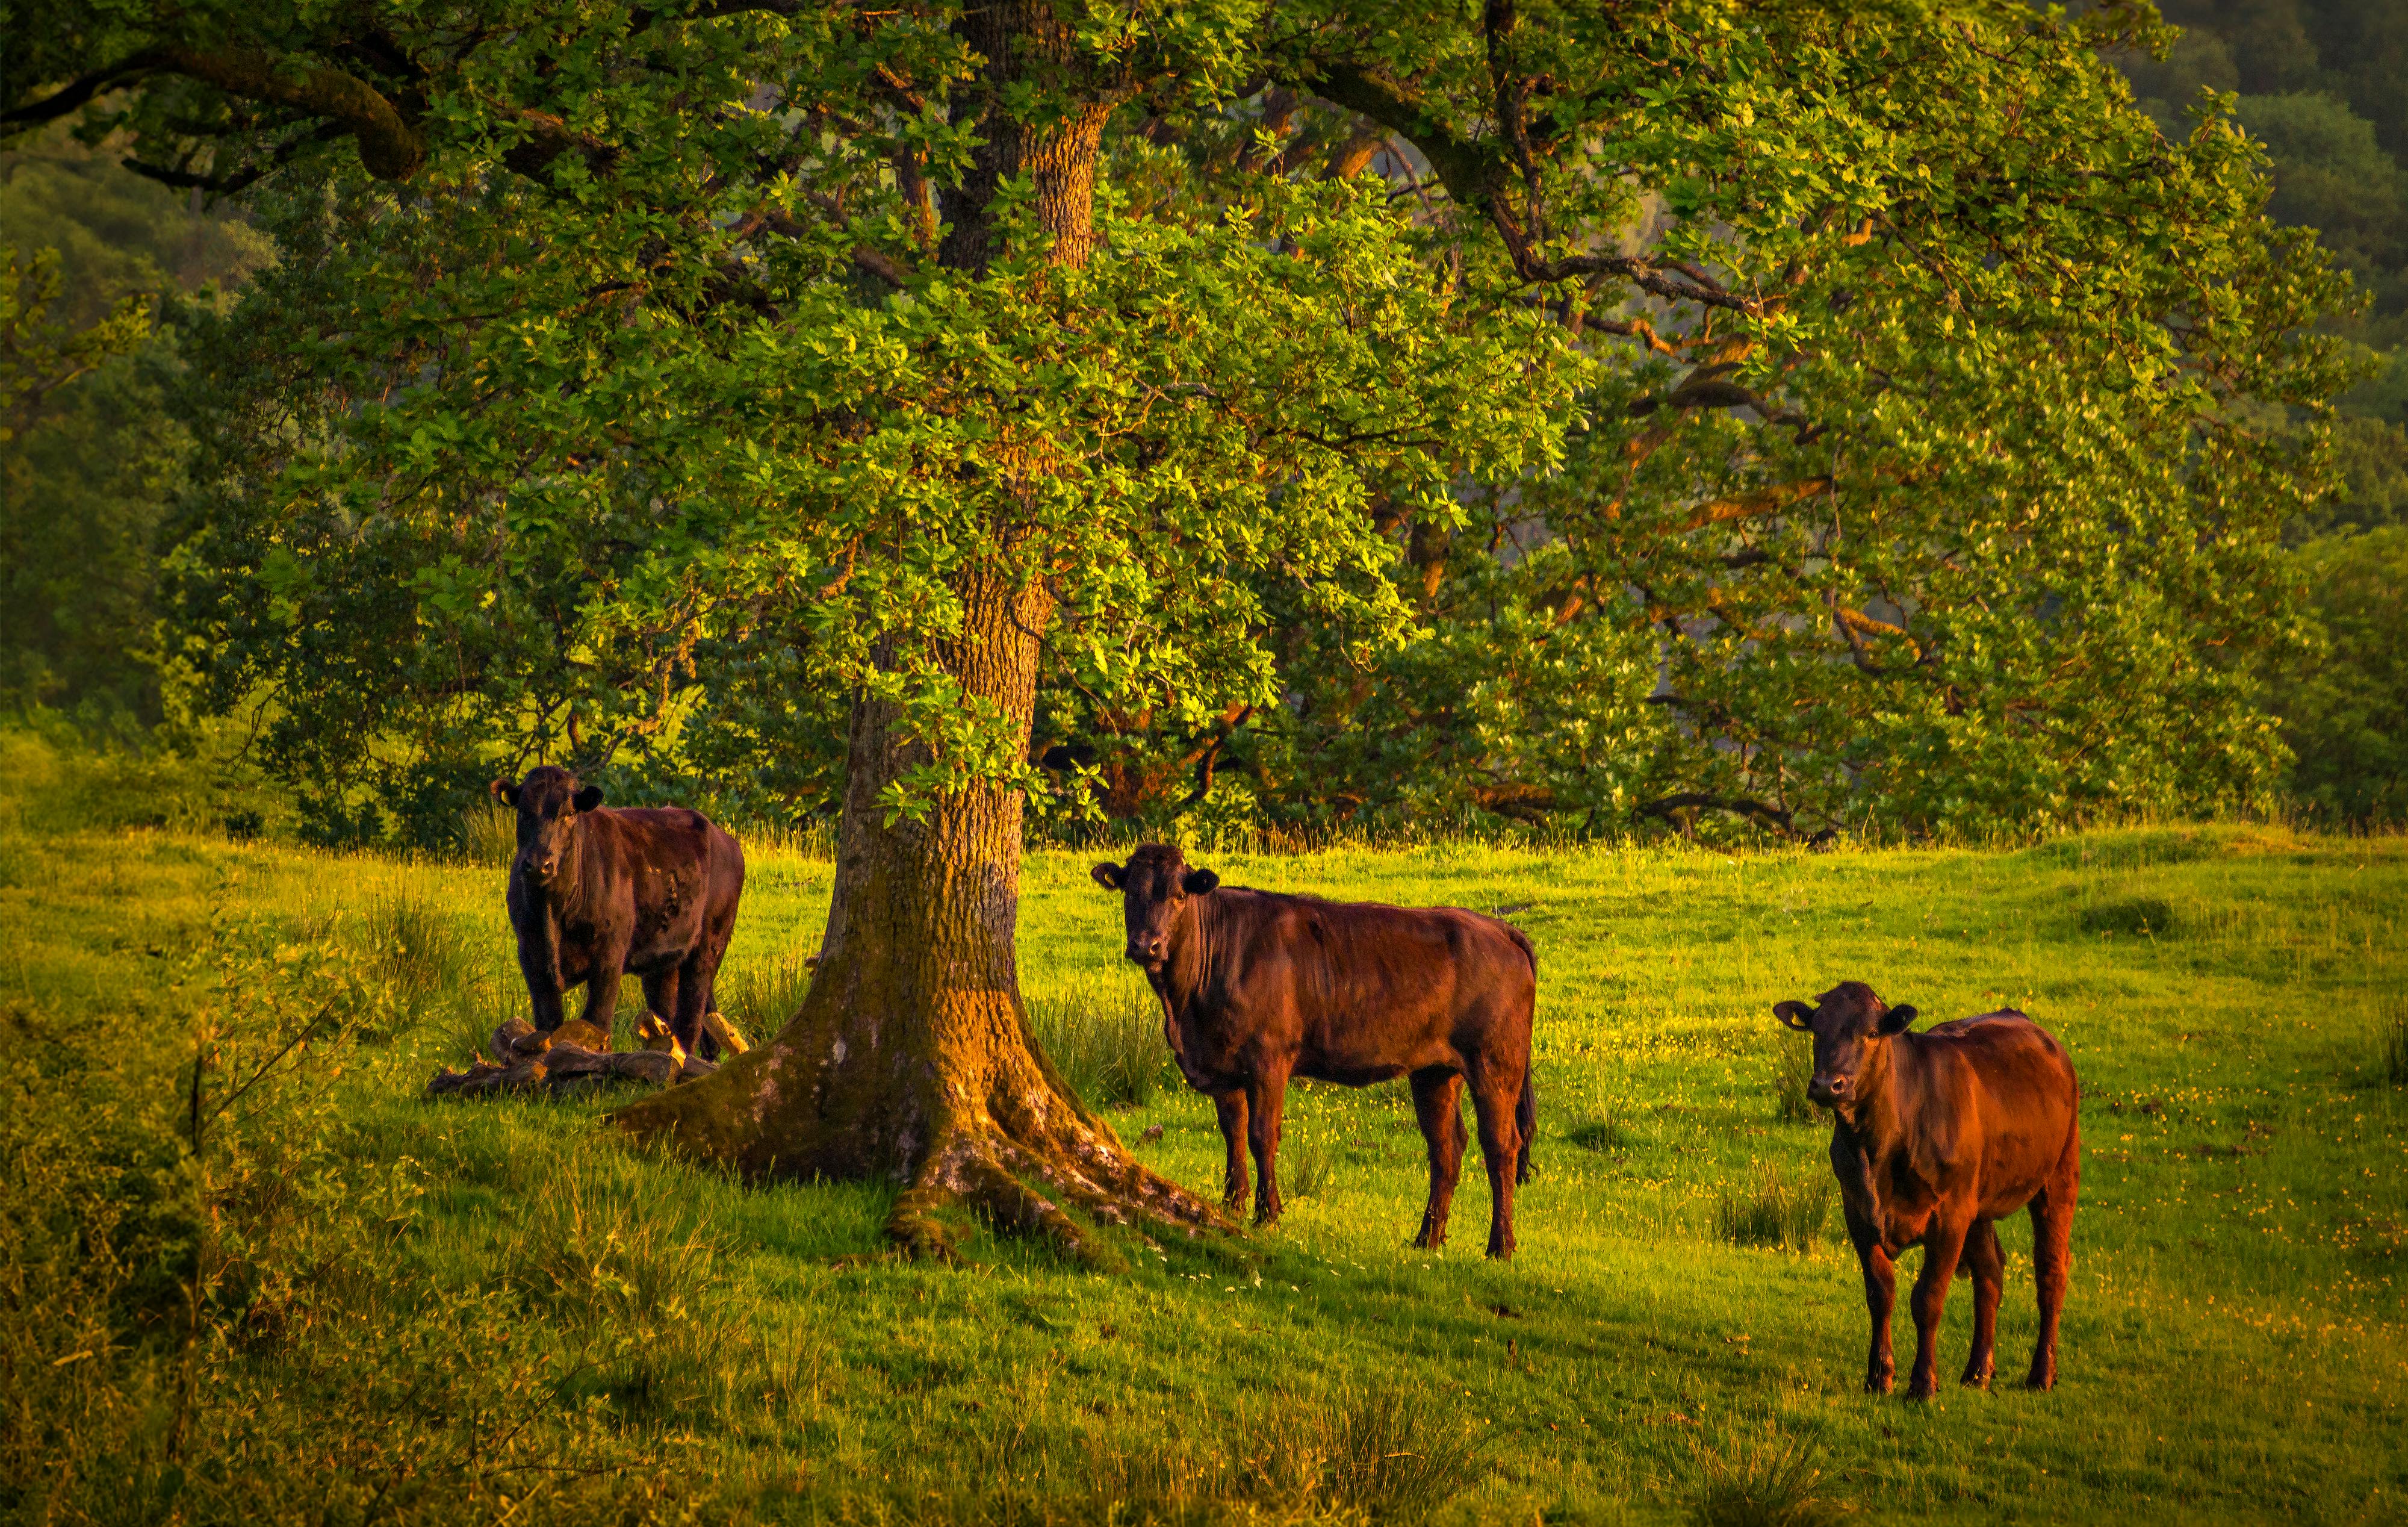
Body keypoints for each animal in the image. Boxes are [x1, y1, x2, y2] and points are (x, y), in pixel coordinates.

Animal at [491, 766, 746, 1056]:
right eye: (523, 811)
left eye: (569, 814)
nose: (538, 865)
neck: (553, 912)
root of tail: (724, 839)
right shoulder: (531, 955)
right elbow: (548, 1023)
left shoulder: (610, 954)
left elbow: (596, 1021)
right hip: (665, 957)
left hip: (710, 944)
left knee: (691, 1012)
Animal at [1091, 843, 1538, 1259]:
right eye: (1130, 892)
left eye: (1179, 895)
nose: (1146, 946)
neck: (1186, 1012)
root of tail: (1500, 928)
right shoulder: (1223, 1066)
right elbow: (1233, 1133)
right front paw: (1232, 1205)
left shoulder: (1269, 1058)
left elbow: (1261, 1134)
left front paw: (1267, 1213)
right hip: (1435, 1070)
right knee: (1446, 1147)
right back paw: (1427, 1239)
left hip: (1496, 1062)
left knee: (1501, 1146)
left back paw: (1501, 1245)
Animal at [1773, 981, 2080, 1399]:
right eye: (1816, 1031)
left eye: (1872, 1032)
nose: (1827, 1085)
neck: (1879, 1147)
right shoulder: (1858, 1212)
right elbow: (1880, 1294)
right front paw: (1880, 1376)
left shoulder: (1949, 1218)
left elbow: (1928, 1299)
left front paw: (1922, 1384)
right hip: (1979, 1203)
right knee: (1990, 1272)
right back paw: (1978, 1371)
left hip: (2059, 1175)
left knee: (2051, 1270)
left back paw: (2042, 1374)